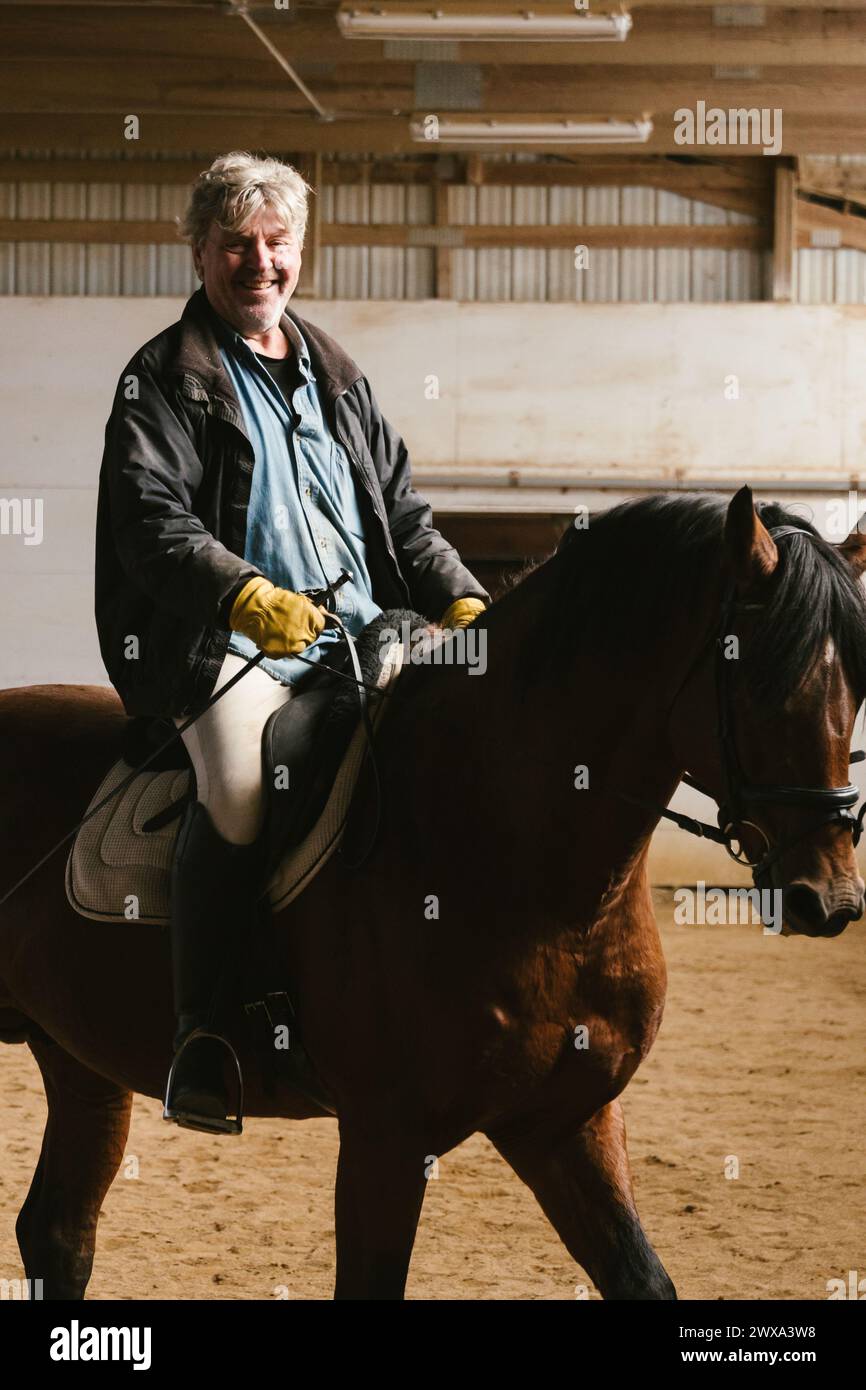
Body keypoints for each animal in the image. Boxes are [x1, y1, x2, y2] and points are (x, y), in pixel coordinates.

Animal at [1, 485, 865, 1301]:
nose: (829, 898)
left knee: (58, 1232)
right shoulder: (387, 1137)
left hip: (78, 1057)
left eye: (855, 684)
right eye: (759, 678)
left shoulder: (566, 1123)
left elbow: (643, 1278)